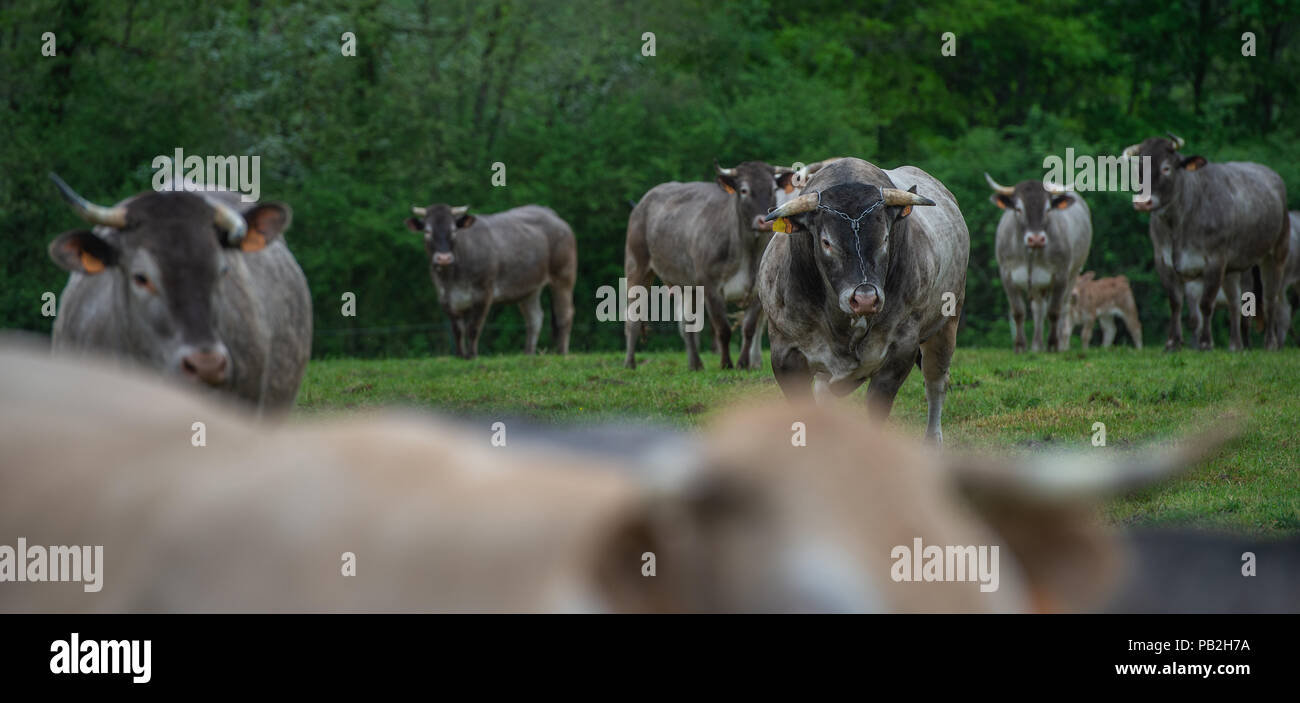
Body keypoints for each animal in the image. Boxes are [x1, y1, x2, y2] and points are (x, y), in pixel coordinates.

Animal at [405, 204, 576, 359]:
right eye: (427, 231)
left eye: (453, 230)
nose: (444, 258)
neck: (452, 279)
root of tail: (552, 214)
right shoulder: (445, 298)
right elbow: (458, 330)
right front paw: (460, 356)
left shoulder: (483, 292)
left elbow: (473, 328)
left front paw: (472, 356)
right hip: (529, 288)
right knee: (534, 318)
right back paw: (528, 353)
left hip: (563, 276)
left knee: (564, 315)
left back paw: (562, 352)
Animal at [623, 161, 795, 371]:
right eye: (744, 190)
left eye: (772, 189)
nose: (763, 222)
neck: (748, 253)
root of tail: (644, 201)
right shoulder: (710, 286)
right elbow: (723, 328)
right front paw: (726, 363)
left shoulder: (757, 290)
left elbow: (749, 328)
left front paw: (743, 363)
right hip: (636, 265)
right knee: (632, 318)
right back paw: (630, 362)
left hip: (687, 285)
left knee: (687, 325)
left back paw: (695, 364)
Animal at [756, 157, 968, 445]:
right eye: (826, 242)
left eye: (885, 238)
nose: (865, 299)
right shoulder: (785, 354)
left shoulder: (900, 351)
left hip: (947, 324)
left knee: (935, 382)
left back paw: (933, 440)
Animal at [985, 174, 1092, 353]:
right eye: (1018, 209)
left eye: (1048, 209)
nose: (1036, 239)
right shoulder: (1007, 275)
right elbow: (1018, 312)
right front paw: (1020, 346)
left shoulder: (1061, 275)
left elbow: (1054, 311)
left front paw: (1053, 344)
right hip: (1036, 283)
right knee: (1038, 309)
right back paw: (1036, 345)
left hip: (1073, 274)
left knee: (1063, 307)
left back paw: (1060, 344)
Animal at [1122, 134, 1290, 350]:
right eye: (1138, 168)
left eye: (1166, 168)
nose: (1142, 203)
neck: (1178, 224)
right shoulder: (1164, 261)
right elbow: (1177, 304)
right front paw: (1173, 342)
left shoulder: (1214, 261)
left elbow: (1206, 304)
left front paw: (1205, 343)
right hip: (1234, 267)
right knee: (1235, 302)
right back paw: (1236, 345)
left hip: (1276, 253)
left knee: (1270, 298)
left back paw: (1270, 343)